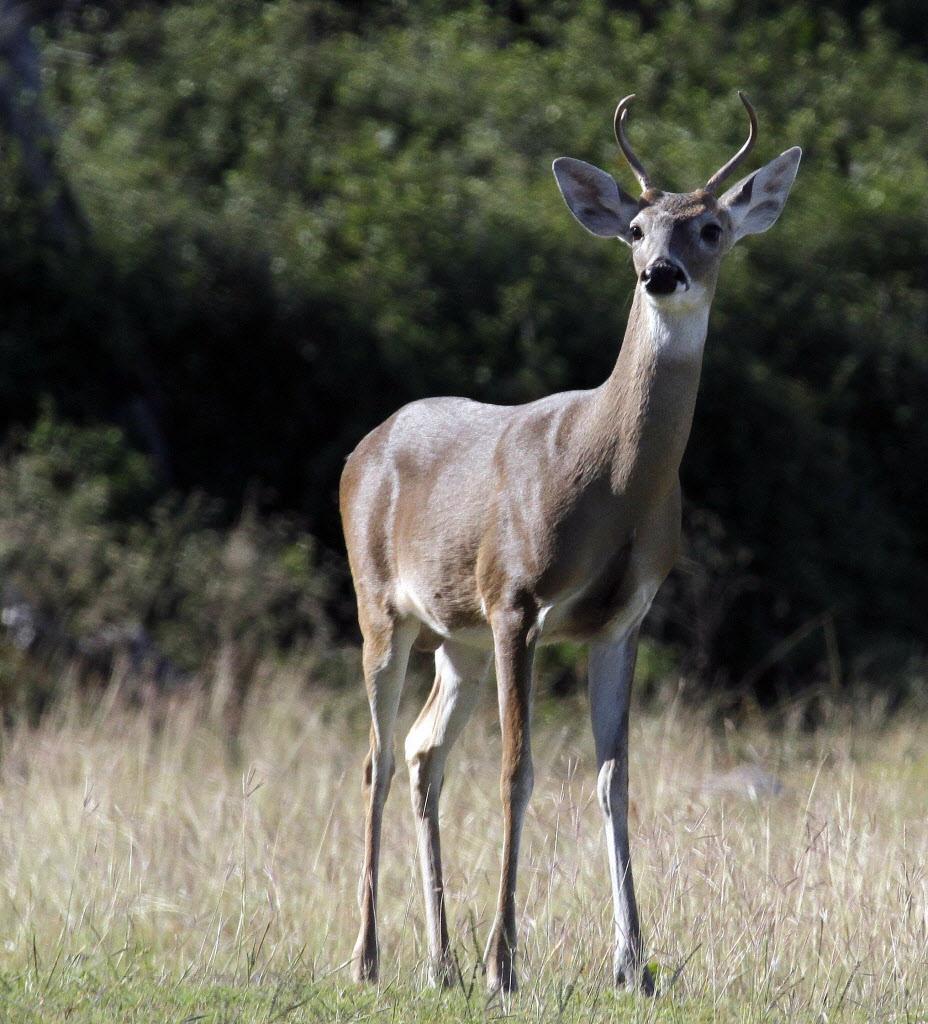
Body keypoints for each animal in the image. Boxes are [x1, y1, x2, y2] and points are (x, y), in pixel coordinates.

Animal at [340, 91, 801, 995]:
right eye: (636, 228)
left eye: (711, 228)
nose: (660, 273)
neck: (613, 483)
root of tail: (361, 448)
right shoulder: (515, 598)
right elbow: (518, 771)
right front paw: (504, 965)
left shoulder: (622, 618)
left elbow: (614, 780)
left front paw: (634, 965)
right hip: (384, 608)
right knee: (376, 760)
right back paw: (369, 957)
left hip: (457, 637)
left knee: (420, 752)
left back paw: (439, 962)